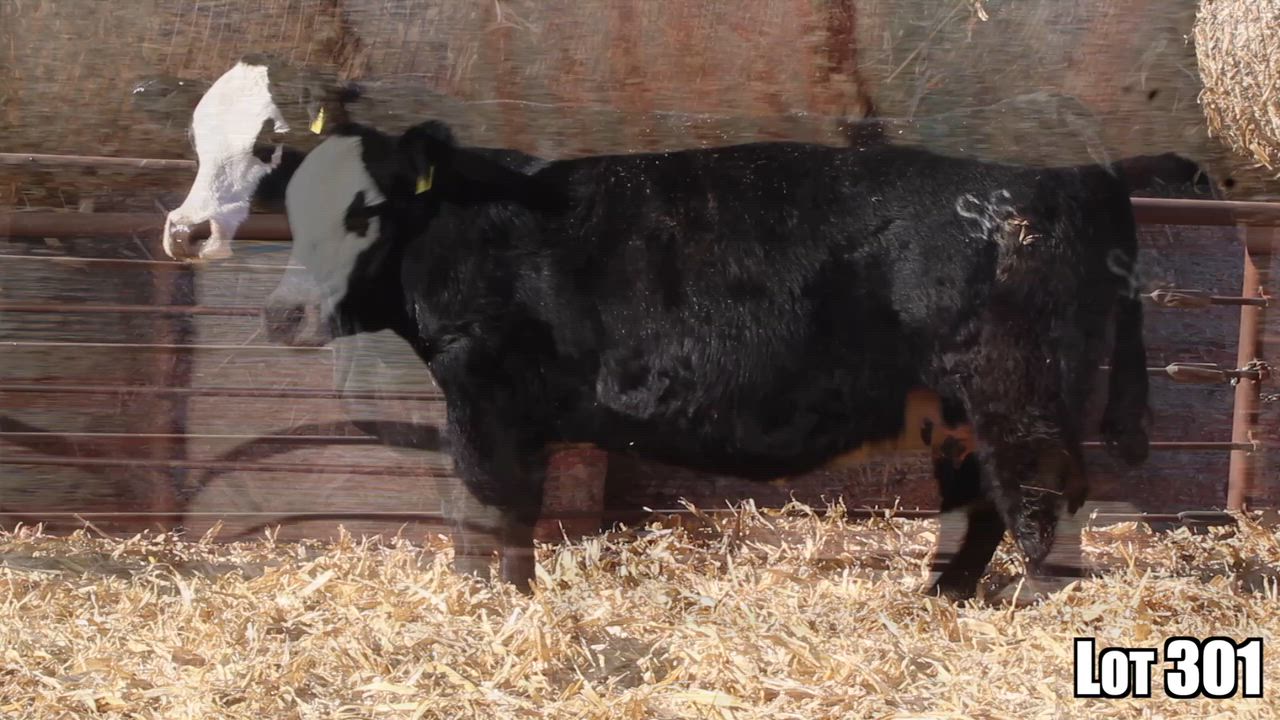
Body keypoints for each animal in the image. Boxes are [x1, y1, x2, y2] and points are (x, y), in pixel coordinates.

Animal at [256, 117, 1164, 601]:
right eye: (293, 212)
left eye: (366, 213)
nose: (282, 311)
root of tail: (1064, 178)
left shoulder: (486, 394)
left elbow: (493, 506)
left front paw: (497, 598)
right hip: (963, 409)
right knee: (980, 503)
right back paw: (943, 597)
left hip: (1019, 393)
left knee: (1043, 496)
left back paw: (1036, 602)